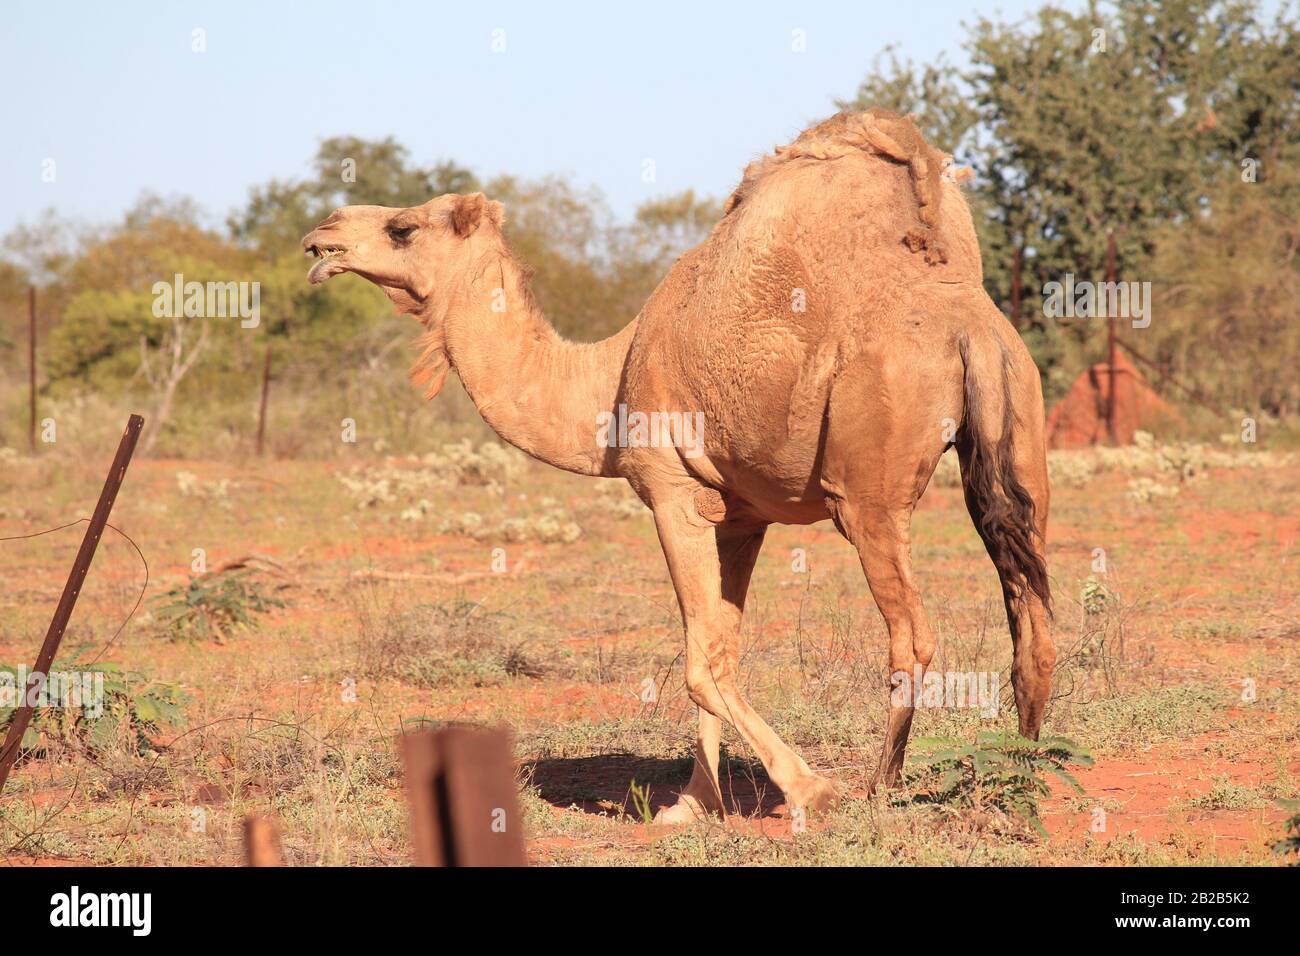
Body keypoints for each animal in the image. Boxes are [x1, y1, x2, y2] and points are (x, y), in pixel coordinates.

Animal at [301, 109, 1054, 823]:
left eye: (403, 227)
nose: (322, 235)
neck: (606, 382)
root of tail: (966, 324)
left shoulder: (672, 492)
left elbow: (699, 662)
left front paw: (808, 788)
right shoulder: (741, 514)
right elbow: (721, 647)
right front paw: (693, 804)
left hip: (868, 489)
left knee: (913, 635)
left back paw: (881, 785)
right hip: (1023, 428)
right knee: (1034, 622)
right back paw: (1021, 771)